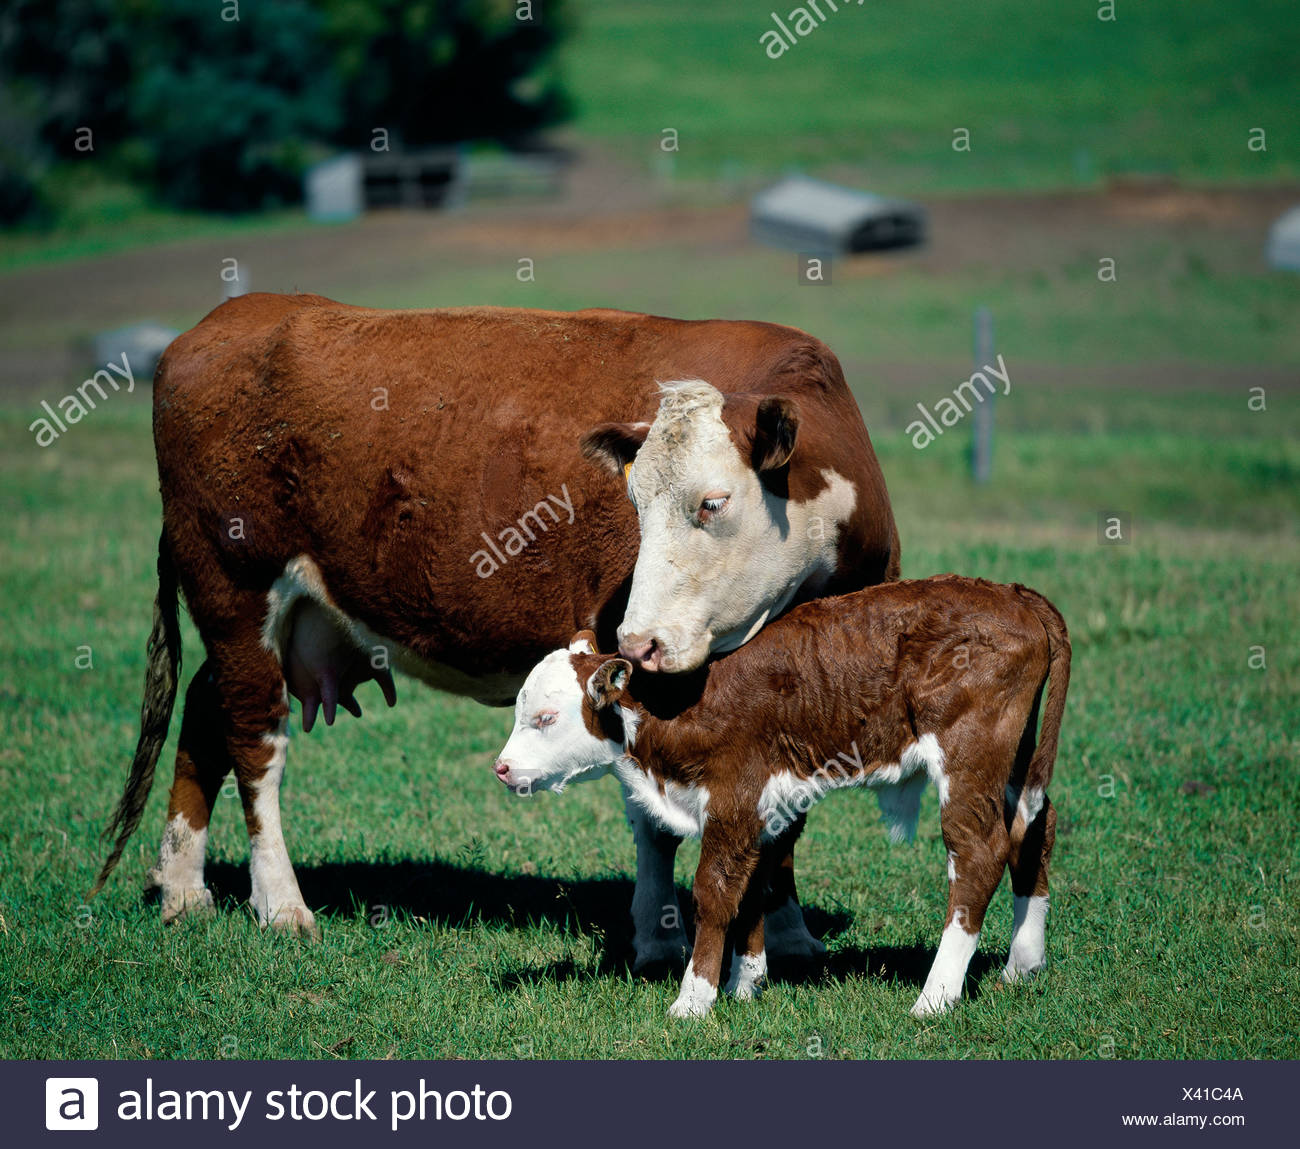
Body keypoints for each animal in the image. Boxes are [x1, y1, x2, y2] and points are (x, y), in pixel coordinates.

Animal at [88, 294, 900, 965]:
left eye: (712, 502)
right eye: (634, 502)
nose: (638, 639)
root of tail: (221, 321)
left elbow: (783, 811)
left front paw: (789, 932)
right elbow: (655, 818)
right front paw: (658, 935)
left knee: (205, 711)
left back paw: (183, 888)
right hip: (236, 590)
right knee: (255, 741)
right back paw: (280, 902)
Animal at [494, 575, 1070, 1019]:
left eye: (546, 717)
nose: (501, 768)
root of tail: (1012, 594)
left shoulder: (733, 799)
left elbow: (713, 894)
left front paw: (694, 1001)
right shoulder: (764, 807)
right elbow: (755, 888)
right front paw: (744, 985)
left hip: (970, 751)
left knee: (977, 853)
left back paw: (935, 997)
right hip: (1015, 756)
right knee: (1033, 830)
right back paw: (1023, 965)